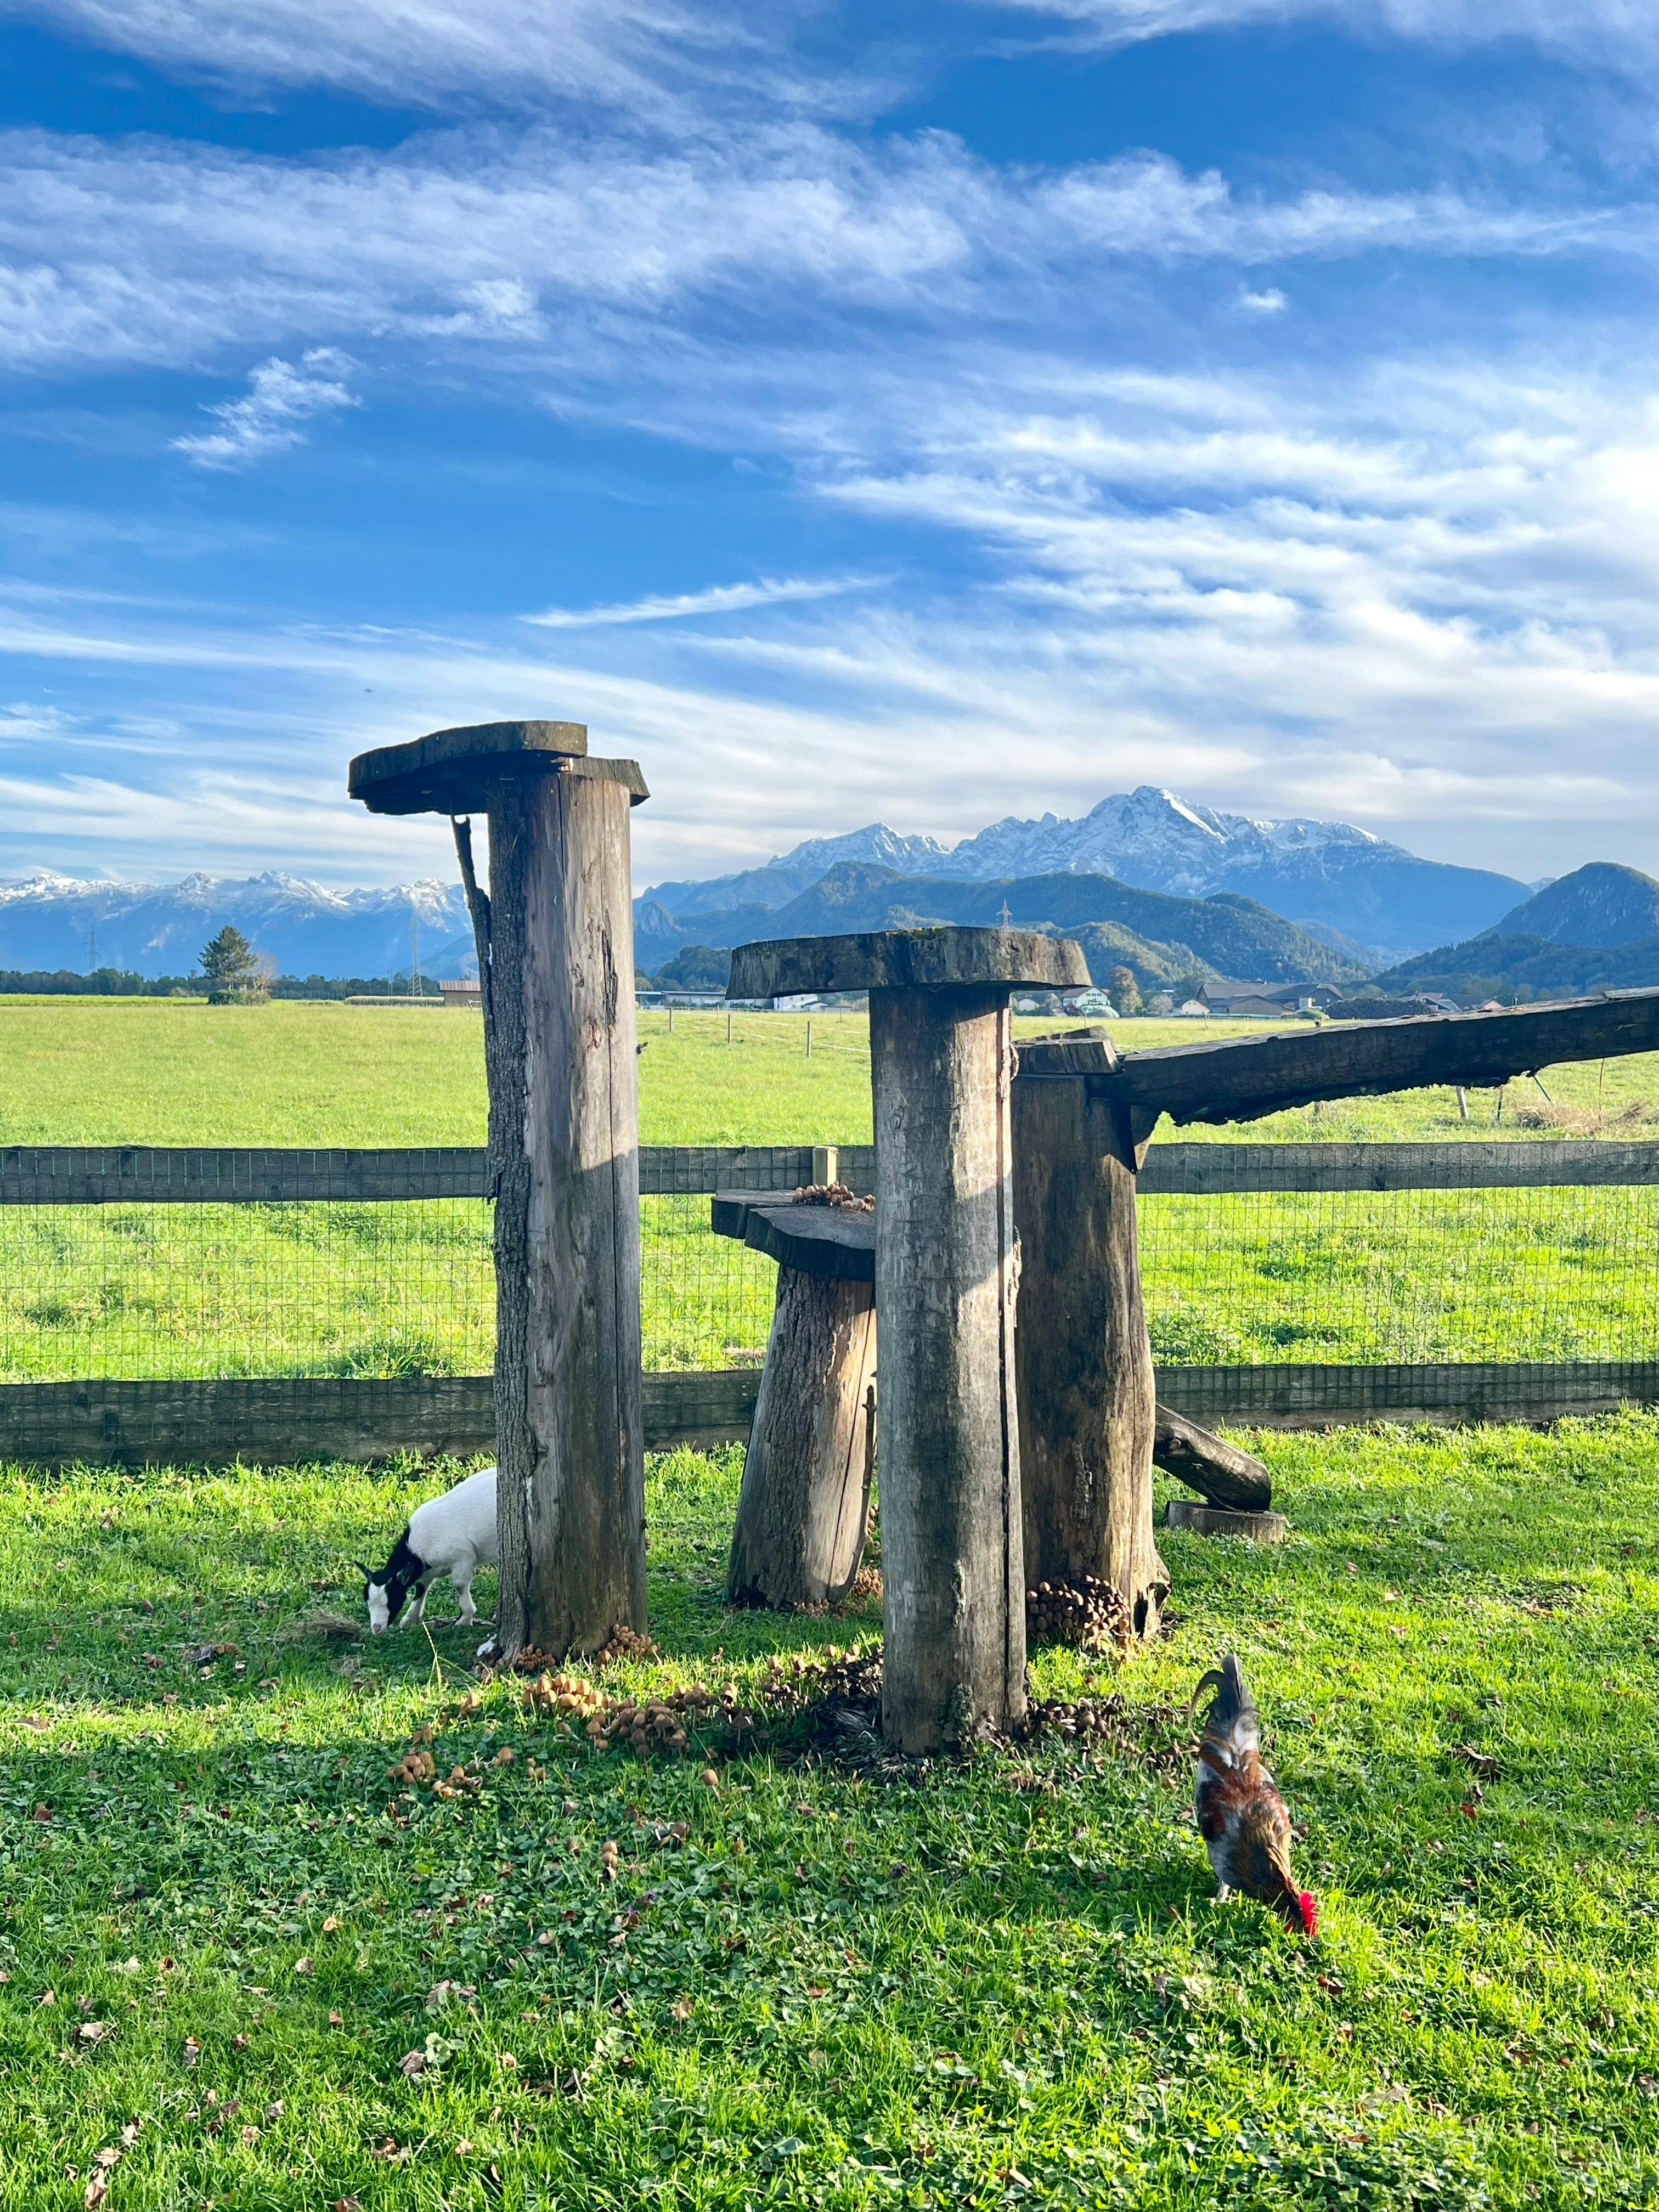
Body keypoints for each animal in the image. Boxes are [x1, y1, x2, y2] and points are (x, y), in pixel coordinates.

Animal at [357, 1465, 498, 1635]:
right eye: (367, 1601)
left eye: (392, 1600)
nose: (377, 1628)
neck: (417, 1548)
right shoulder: (424, 1569)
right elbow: (421, 1588)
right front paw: (409, 1620)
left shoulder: (463, 1558)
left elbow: (459, 1585)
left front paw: (465, 1619)